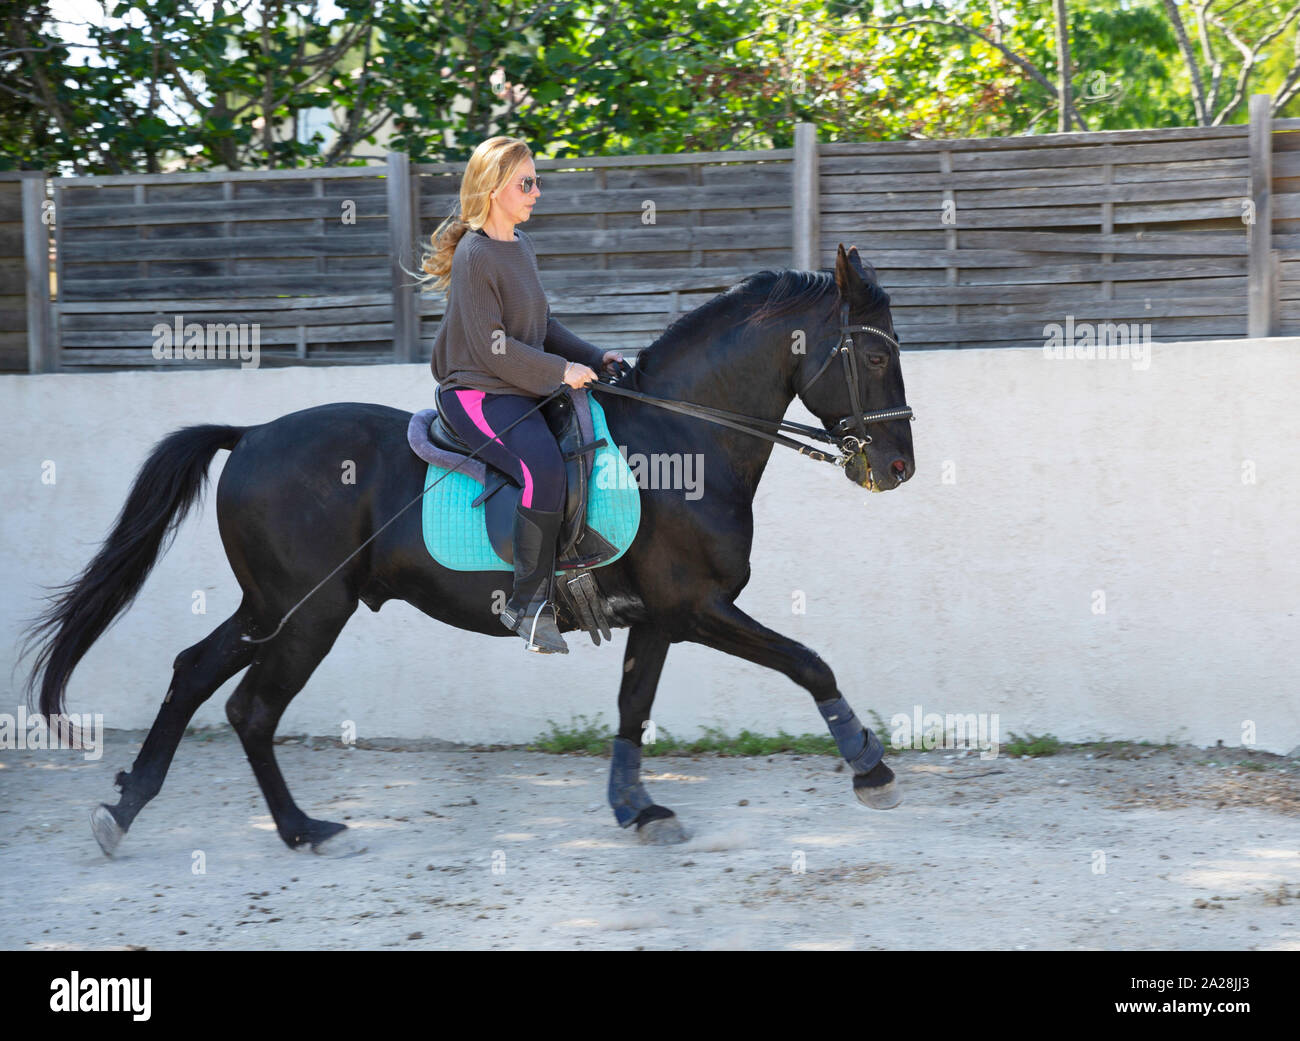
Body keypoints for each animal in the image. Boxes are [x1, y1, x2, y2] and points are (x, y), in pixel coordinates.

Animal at [21, 243, 915, 856]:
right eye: (875, 354)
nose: (899, 468)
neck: (680, 439)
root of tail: (251, 434)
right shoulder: (698, 605)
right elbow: (809, 662)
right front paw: (869, 765)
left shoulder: (661, 615)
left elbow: (633, 706)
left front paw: (638, 808)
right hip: (306, 610)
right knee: (247, 705)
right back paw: (281, 824)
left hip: (272, 606)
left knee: (200, 677)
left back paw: (166, 810)